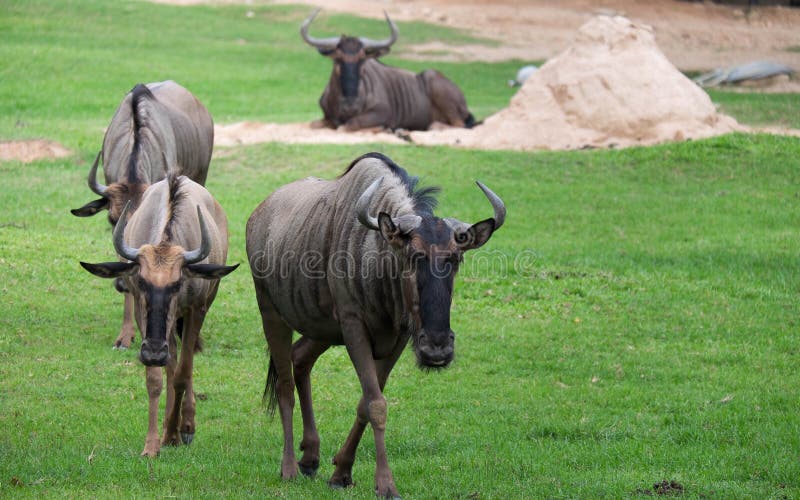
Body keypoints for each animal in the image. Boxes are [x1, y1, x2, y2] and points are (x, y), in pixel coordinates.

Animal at [80, 174, 238, 457]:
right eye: (142, 281)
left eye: (177, 284)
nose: (153, 353)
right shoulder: (144, 318)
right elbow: (157, 378)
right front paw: (156, 441)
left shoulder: (196, 310)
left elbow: (183, 373)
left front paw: (183, 429)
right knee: (171, 363)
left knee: (182, 365)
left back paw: (185, 424)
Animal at [245, 152, 505, 497]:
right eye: (413, 256)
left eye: (455, 259)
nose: (437, 350)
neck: (379, 261)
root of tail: (258, 213)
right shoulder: (355, 329)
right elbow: (377, 404)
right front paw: (385, 483)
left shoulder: (399, 337)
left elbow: (365, 403)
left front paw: (340, 471)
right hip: (271, 314)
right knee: (284, 383)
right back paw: (288, 468)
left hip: (322, 329)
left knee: (300, 360)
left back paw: (310, 456)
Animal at [301, 10, 476, 132]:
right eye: (337, 59)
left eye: (362, 60)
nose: (351, 105)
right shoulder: (325, 118)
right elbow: (313, 124)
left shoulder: (381, 113)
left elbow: (348, 125)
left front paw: (380, 128)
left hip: (432, 79)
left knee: (458, 125)